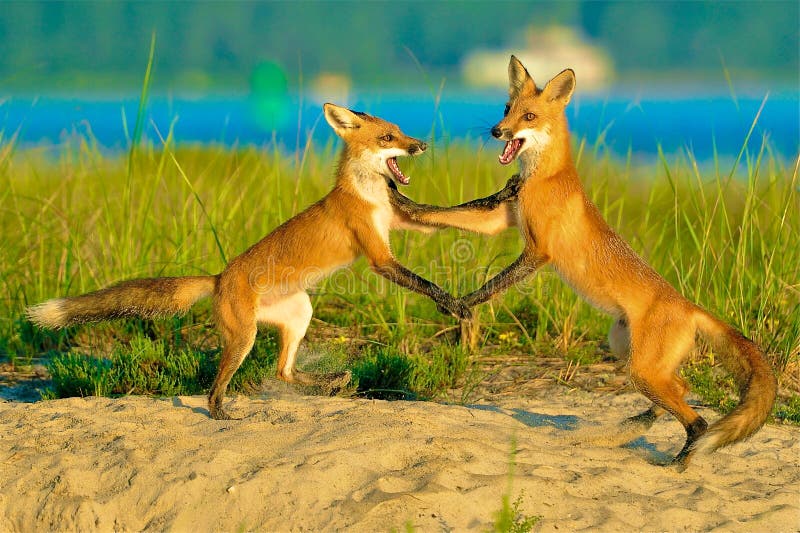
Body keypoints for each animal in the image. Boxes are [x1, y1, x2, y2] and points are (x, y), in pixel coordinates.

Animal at [26, 103, 518, 420]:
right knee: (217, 389)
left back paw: (330, 383)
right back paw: (223, 414)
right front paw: (455, 306)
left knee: (283, 372)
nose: (421, 145)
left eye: (400, 131)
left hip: (299, 313)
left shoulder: (404, 217)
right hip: (242, 338)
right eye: (387, 138)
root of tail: (218, 277)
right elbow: (424, 282)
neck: (369, 192)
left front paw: (504, 194)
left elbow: (454, 214)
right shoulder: (378, 252)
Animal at [391, 56, 778, 468]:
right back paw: (639, 425)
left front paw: (462, 304)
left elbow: (494, 284)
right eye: (506, 109)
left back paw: (680, 462)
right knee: (683, 387)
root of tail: (689, 305)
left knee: (699, 419)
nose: (497, 131)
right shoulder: (501, 218)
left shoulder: (539, 251)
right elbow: (442, 214)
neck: (544, 177)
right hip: (629, 353)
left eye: (528, 116)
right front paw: (403, 203)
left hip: (641, 370)